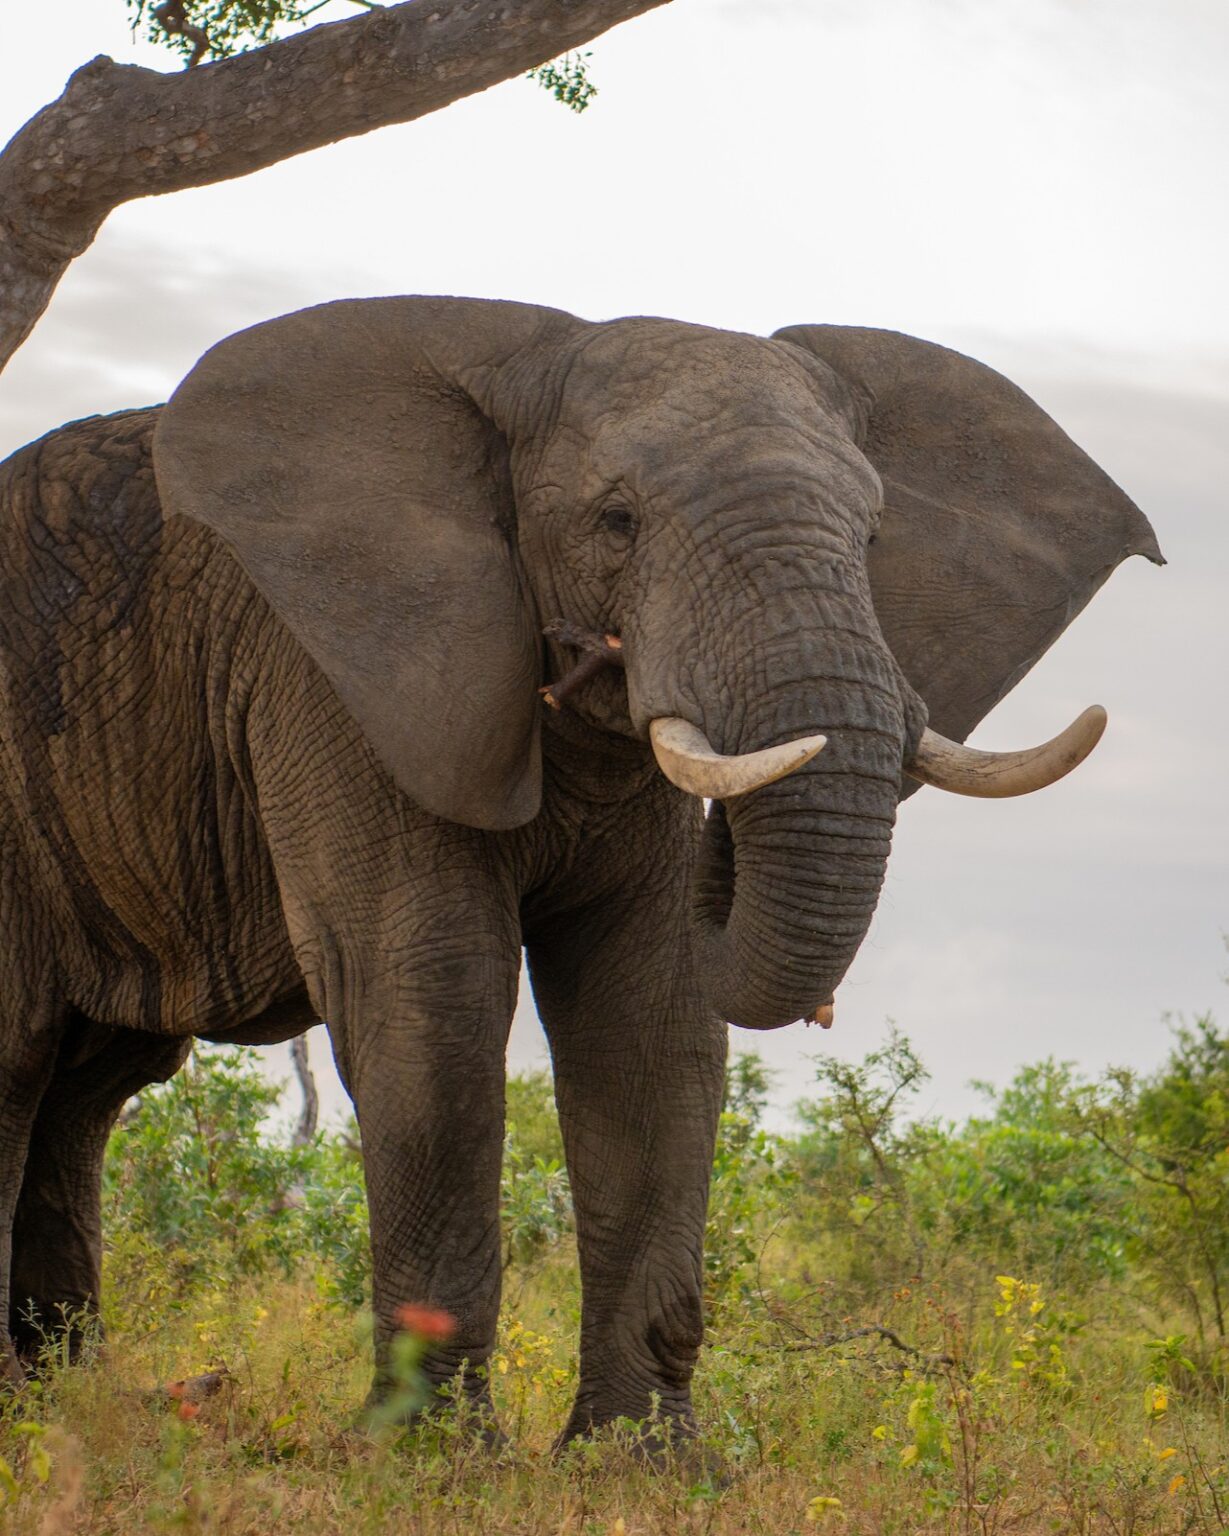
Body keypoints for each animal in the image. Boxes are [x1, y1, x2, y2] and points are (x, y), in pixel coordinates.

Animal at [0, 296, 1161, 1439]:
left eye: (872, 535)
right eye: (617, 522)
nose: (725, 845)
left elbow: (645, 1012)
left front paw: (638, 1460)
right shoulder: (328, 674)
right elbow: (432, 992)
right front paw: (428, 1460)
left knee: (87, 1089)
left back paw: (55, 1401)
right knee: (24, 1058)